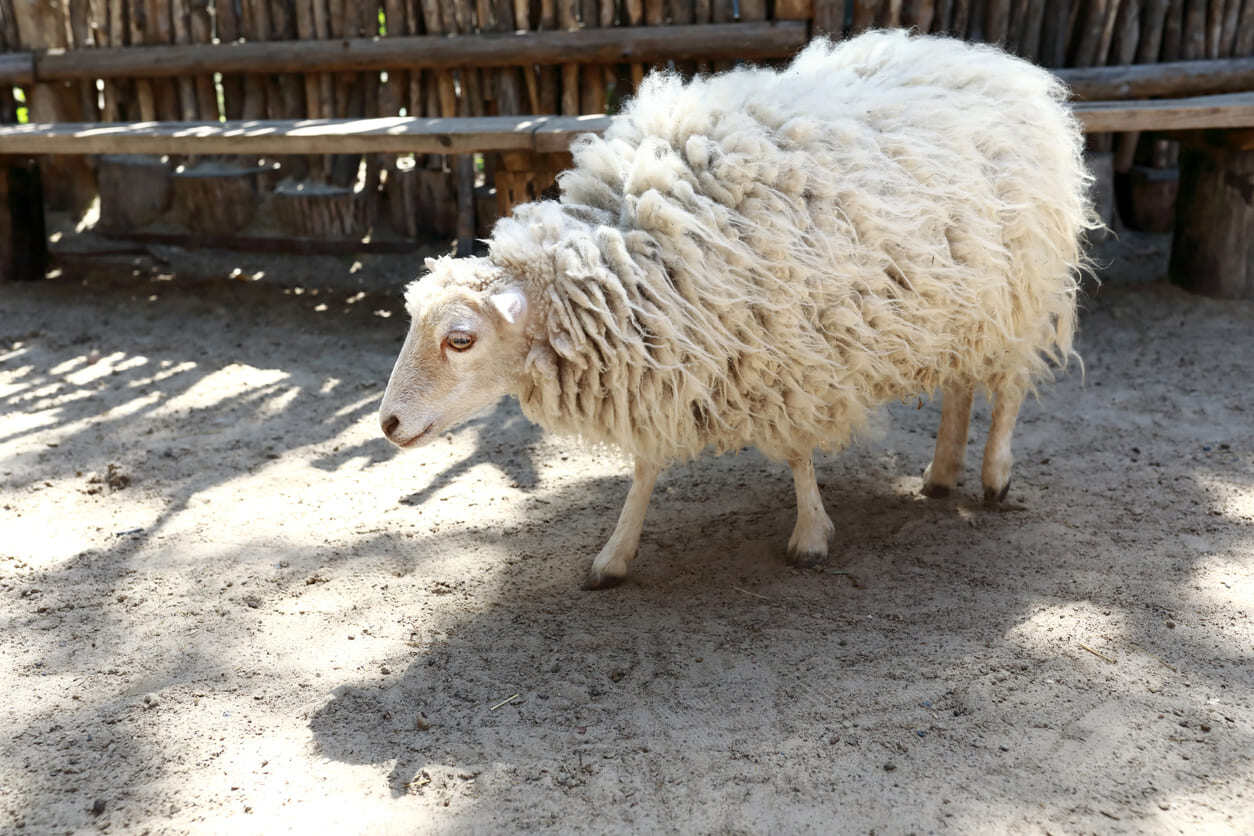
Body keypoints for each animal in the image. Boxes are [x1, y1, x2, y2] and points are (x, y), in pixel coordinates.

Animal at [379, 30, 1095, 589]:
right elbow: (645, 467)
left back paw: (994, 476)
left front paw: (810, 537)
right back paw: (942, 473)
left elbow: (799, 451)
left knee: (1007, 386)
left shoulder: (792, 355)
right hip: (961, 301)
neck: (637, 246)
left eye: (461, 339)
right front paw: (615, 556)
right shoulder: (670, 357)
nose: (387, 424)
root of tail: (998, 64)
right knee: (961, 383)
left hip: (1019, 292)